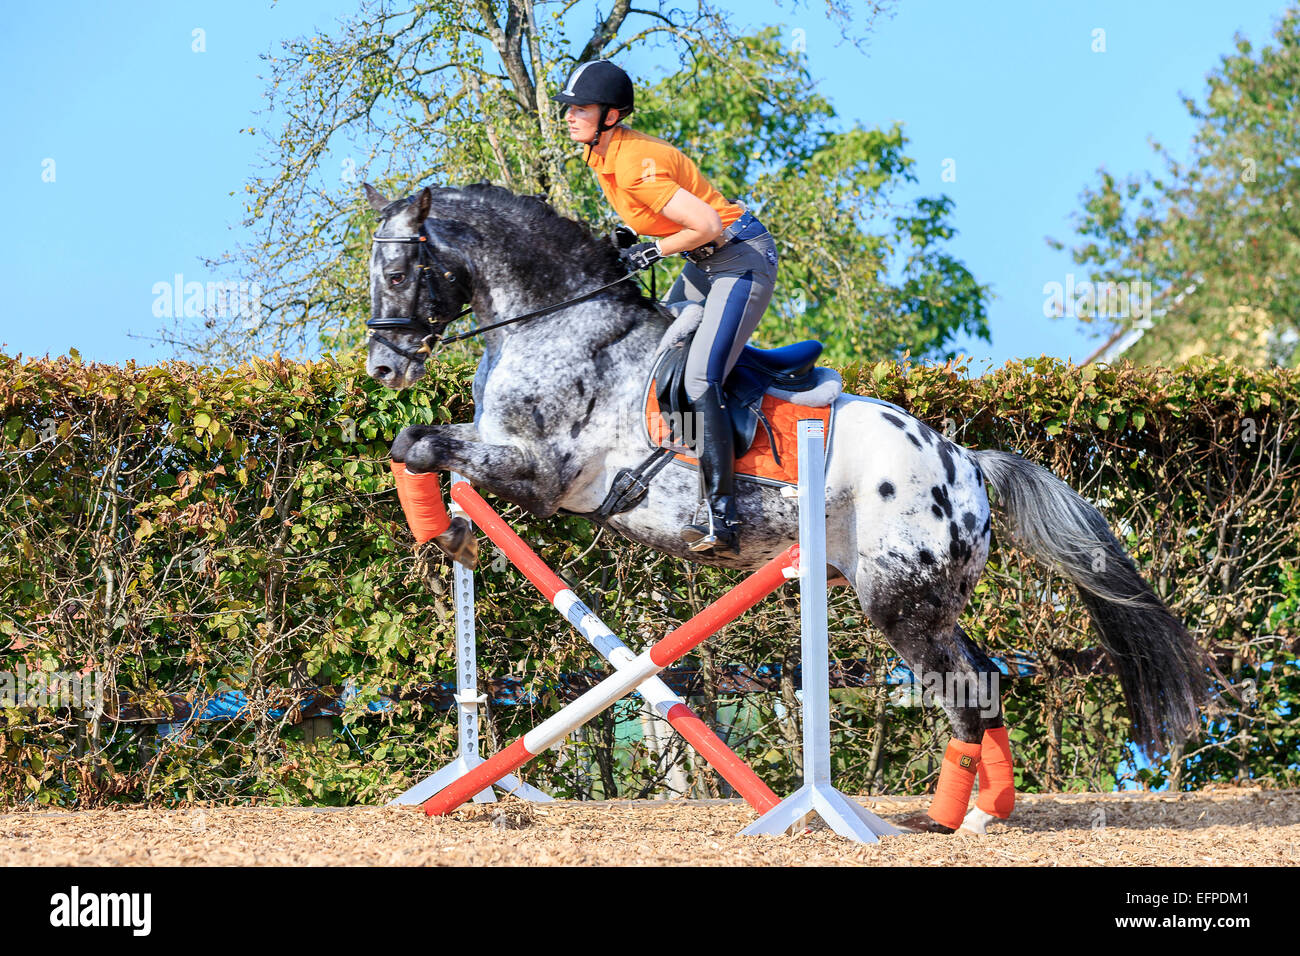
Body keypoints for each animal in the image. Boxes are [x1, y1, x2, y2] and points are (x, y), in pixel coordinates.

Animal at [362, 182, 1208, 834]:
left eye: (399, 270)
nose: (382, 369)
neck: (558, 324)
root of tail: (966, 462)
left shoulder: (543, 473)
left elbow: (423, 446)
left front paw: (445, 535)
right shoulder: (498, 448)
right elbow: (417, 444)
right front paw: (453, 535)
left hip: (899, 603)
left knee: (965, 693)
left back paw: (950, 818)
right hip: (925, 600)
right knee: (984, 680)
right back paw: (979, 811)